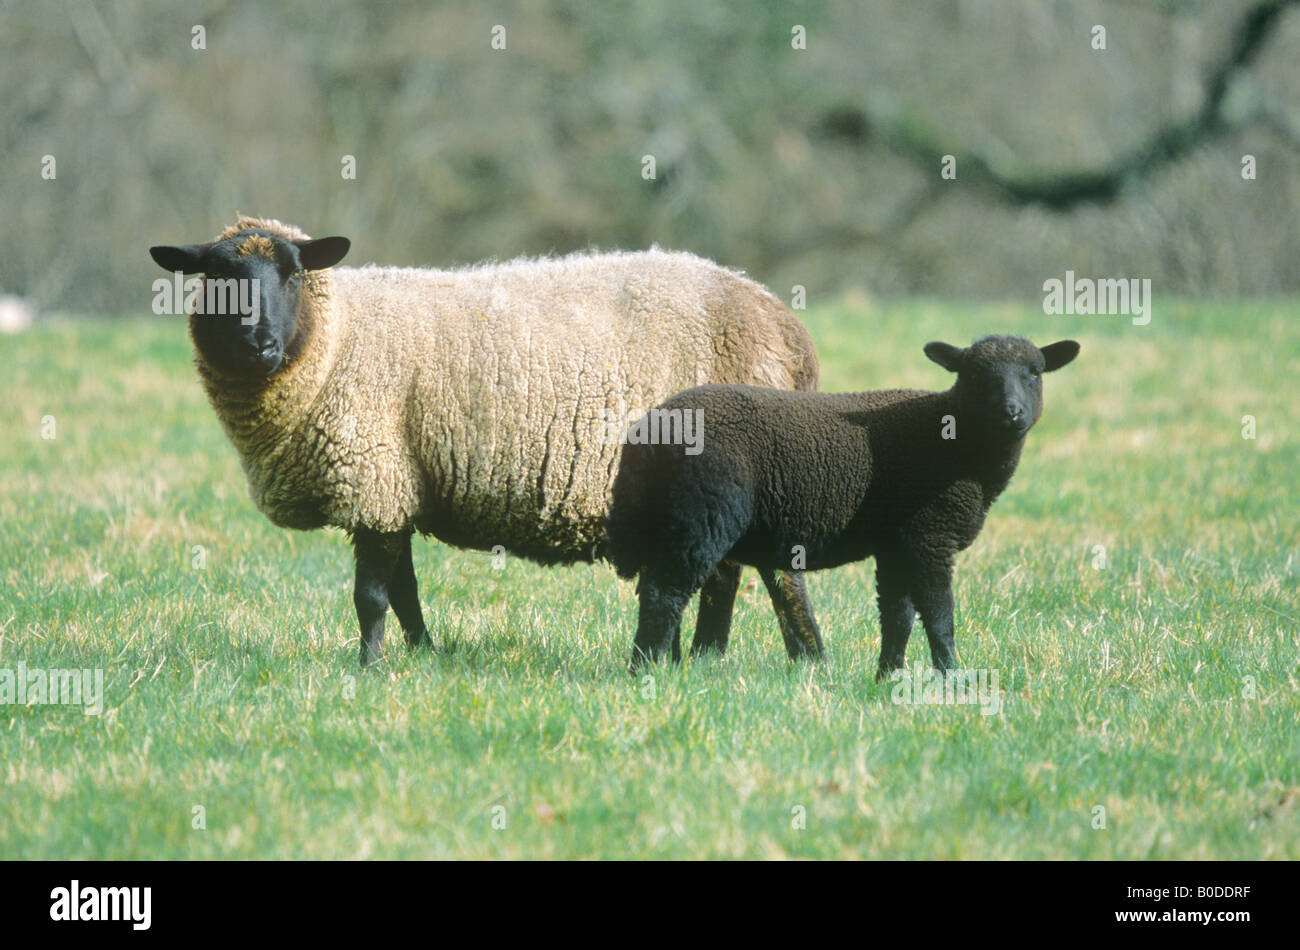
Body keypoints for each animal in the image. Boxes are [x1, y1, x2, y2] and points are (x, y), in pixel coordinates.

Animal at [148, 215, 820, 666]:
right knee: (727, 574)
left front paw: (369, 669)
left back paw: (791, 659)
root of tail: (782, 324)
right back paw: (706, 661)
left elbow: (370, 596)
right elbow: (404, 591)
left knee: (767, 576)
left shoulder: (375, 477)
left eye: (292, 274)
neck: (337, 339)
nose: (257, 344)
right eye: (216, 277)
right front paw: (423, 655)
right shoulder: (398, 481)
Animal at [606, 334, 1080, 675]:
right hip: (702, 514)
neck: (956, 439)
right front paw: (951, 676)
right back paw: (644, 672)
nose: (1012, 412)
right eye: (975, 374)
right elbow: (939, 613)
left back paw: (666, 665)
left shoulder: (897, 544)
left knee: (658, 589)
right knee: (665, 593)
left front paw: (888, 676)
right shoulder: (930, 536)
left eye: (1035, 372)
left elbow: (898, 615)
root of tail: (648, 433)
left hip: (669, 519)